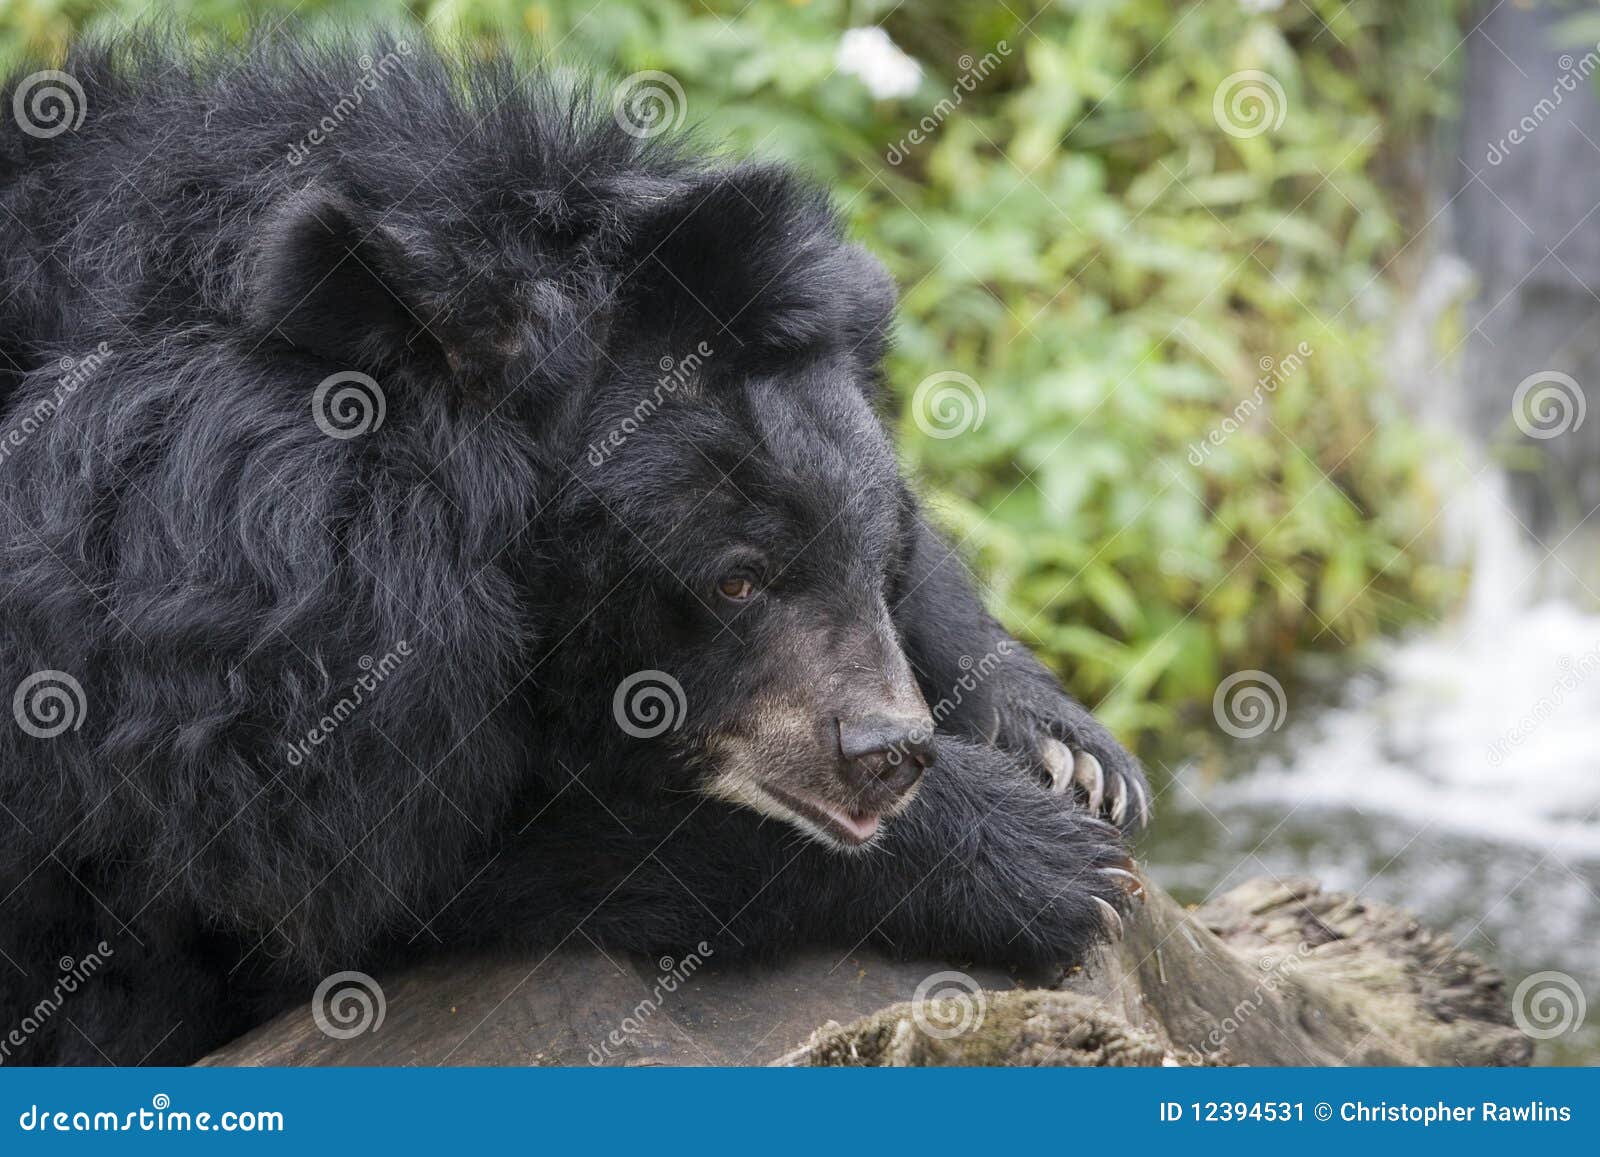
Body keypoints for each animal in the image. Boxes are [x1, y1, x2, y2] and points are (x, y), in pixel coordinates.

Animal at [0, 30, 1148, 1066]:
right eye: (734, 581)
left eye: (878, 562)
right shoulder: (219, 695)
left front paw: (1074, 755)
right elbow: (388, 874)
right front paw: (1051, 861)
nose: (886, 755)